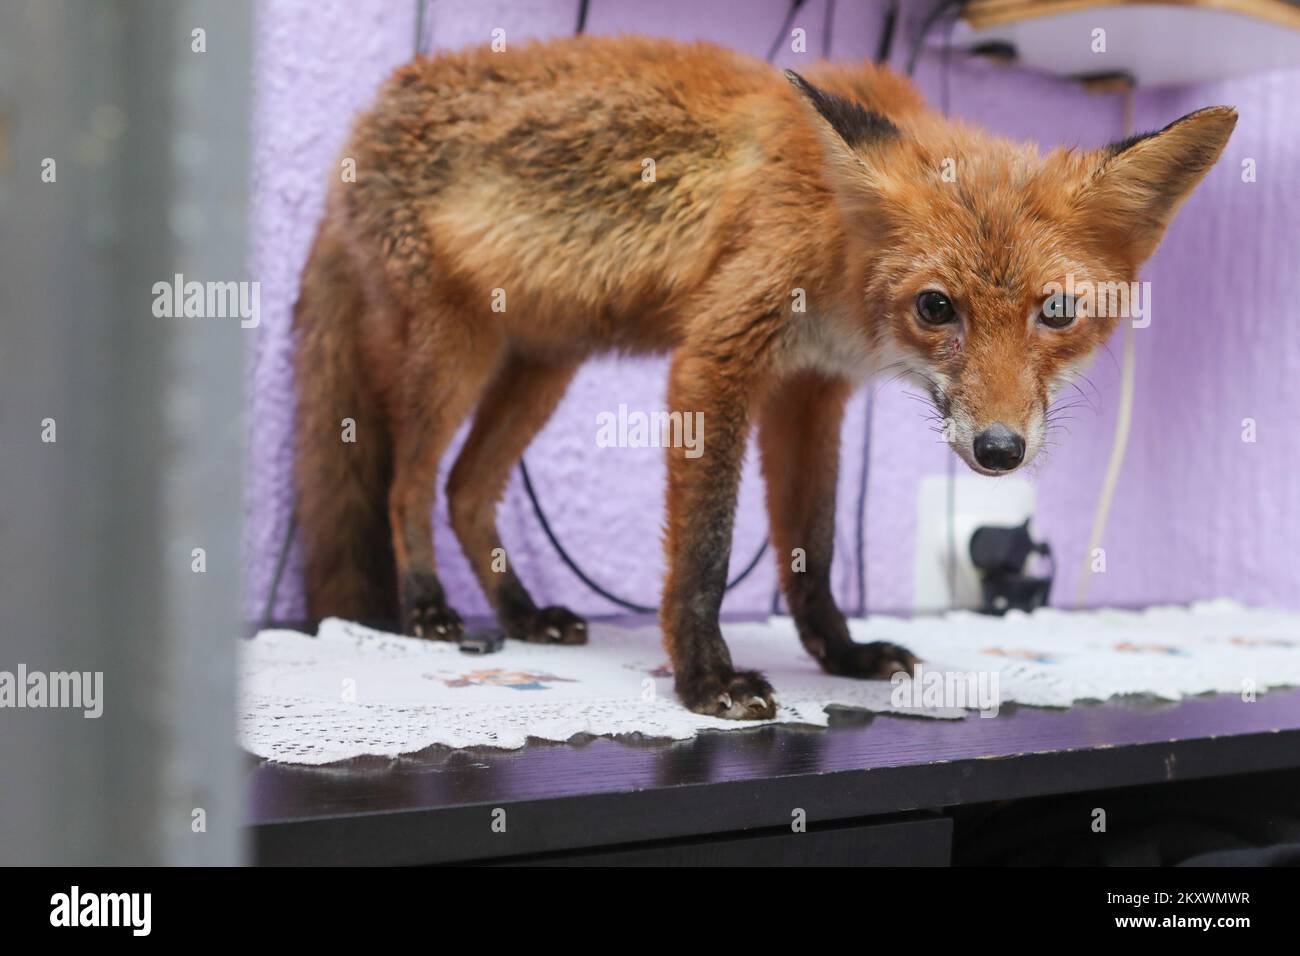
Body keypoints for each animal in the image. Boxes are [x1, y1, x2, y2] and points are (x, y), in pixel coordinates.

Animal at [292, 35, 1235, 719]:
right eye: (937, 308)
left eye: (1058, 312)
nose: (1000, 451)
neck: (838, 243)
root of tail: (364, 114)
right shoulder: (718, 355)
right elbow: (706, 549)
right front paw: (706, 678)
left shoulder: (813, 390)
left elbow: (810, 548)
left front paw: (843, 656)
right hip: (452, 353)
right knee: (409, 485)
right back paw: (426, 609)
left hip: (543, 365)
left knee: (465, 488)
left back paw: (523, 613)